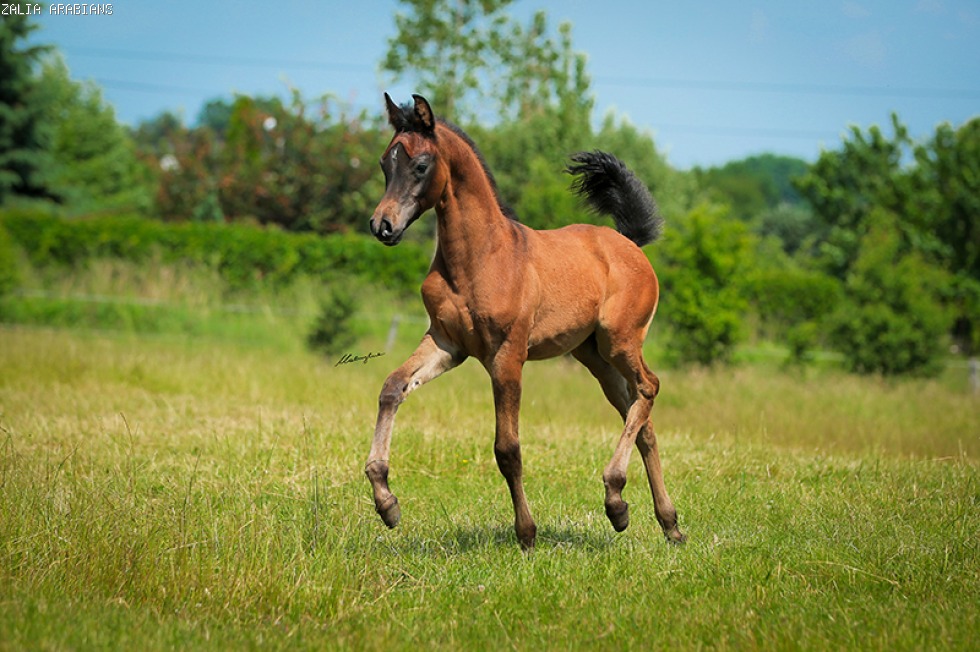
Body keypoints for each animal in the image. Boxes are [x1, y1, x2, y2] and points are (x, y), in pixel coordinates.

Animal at [365, 93, 685, 550]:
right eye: (384, 164)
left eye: (421, 165)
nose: (382, 225)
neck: (481, 257)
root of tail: (629, 243)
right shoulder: (447, 343)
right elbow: (392, 388)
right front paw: (386, 502)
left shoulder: (507, 356)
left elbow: (507, 448)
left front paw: (527, 534)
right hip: (596, 358)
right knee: (641, 421)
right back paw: (663, 522)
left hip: (620, 341)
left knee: (649, 388)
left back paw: (616, 496)